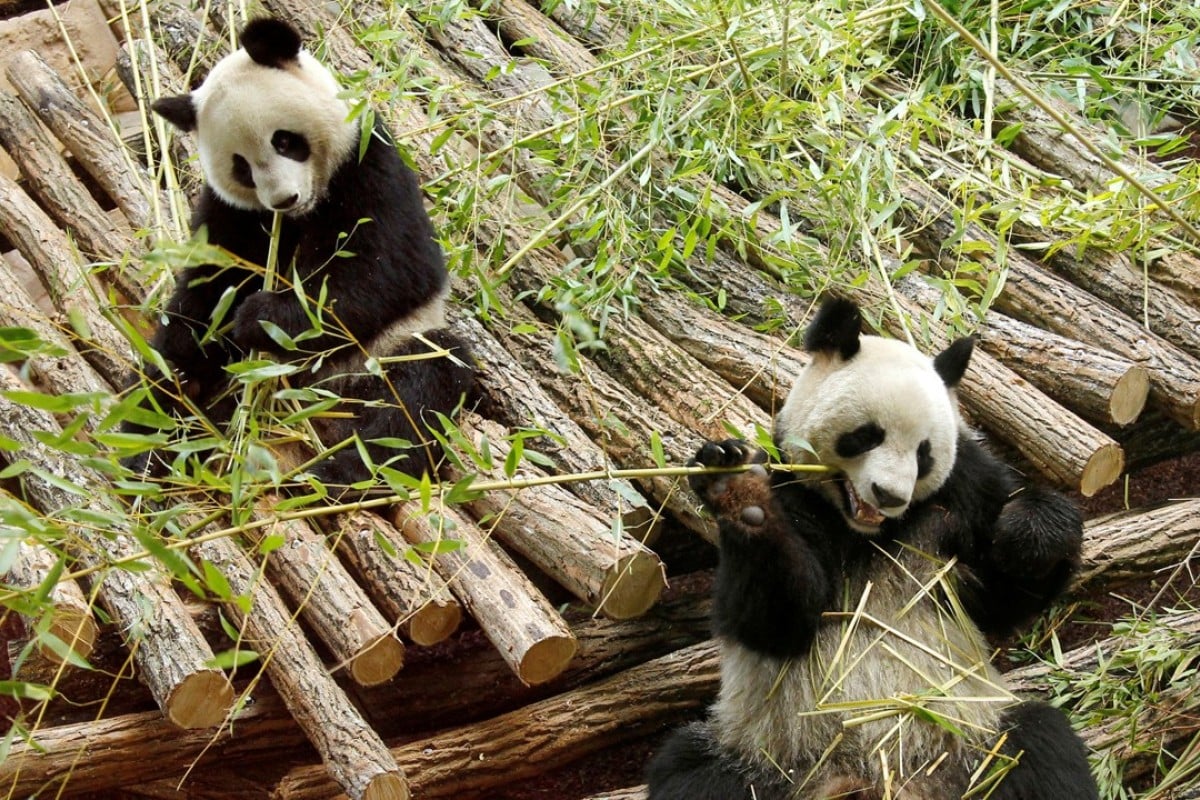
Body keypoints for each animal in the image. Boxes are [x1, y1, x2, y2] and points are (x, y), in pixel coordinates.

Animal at [129, 17, 473, 488]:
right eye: (241, 167)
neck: (303, 214)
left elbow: (386, 272)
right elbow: (207, 292)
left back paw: (339, 475)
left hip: (379, 357)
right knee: (161, 390)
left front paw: (261, 317)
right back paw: (146, 448)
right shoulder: (232, 213)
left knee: (419, 390)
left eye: (284, 141)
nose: (284, 200)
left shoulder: (369, 165)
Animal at [647, 297, 1098, 799]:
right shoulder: (791, 489)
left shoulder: (968, 489)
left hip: (977, 738)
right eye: (866, 435)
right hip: (762, 757)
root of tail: (866, 779)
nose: (889, 496)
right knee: (690, 767)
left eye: (924, 453)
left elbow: (1000, 601)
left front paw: (1031, 536)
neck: (865, 531)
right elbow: (775, 620)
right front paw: (739, 491)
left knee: (1040, 745)